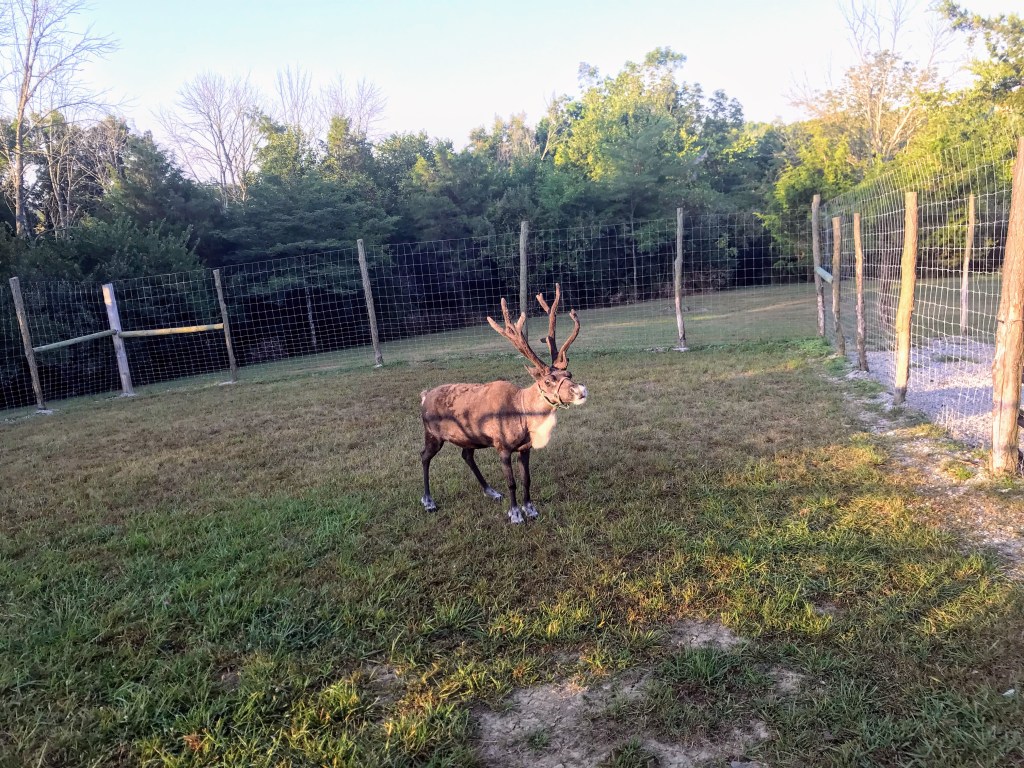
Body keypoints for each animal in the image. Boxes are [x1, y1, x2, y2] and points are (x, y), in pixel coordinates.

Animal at [419, 284, 588, 524]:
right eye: (548, 380)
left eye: (569, 374)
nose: (580, 390)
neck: (523, 416)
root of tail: (424, 396)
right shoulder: (502, 447)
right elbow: (512, 483)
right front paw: (515, 514)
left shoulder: (525, 448)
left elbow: (527, 479)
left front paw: (531, 509)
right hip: (433, 434)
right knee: (424, 456)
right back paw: (428, 501)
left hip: (469, 437)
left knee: (466, 456)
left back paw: (491, 491)